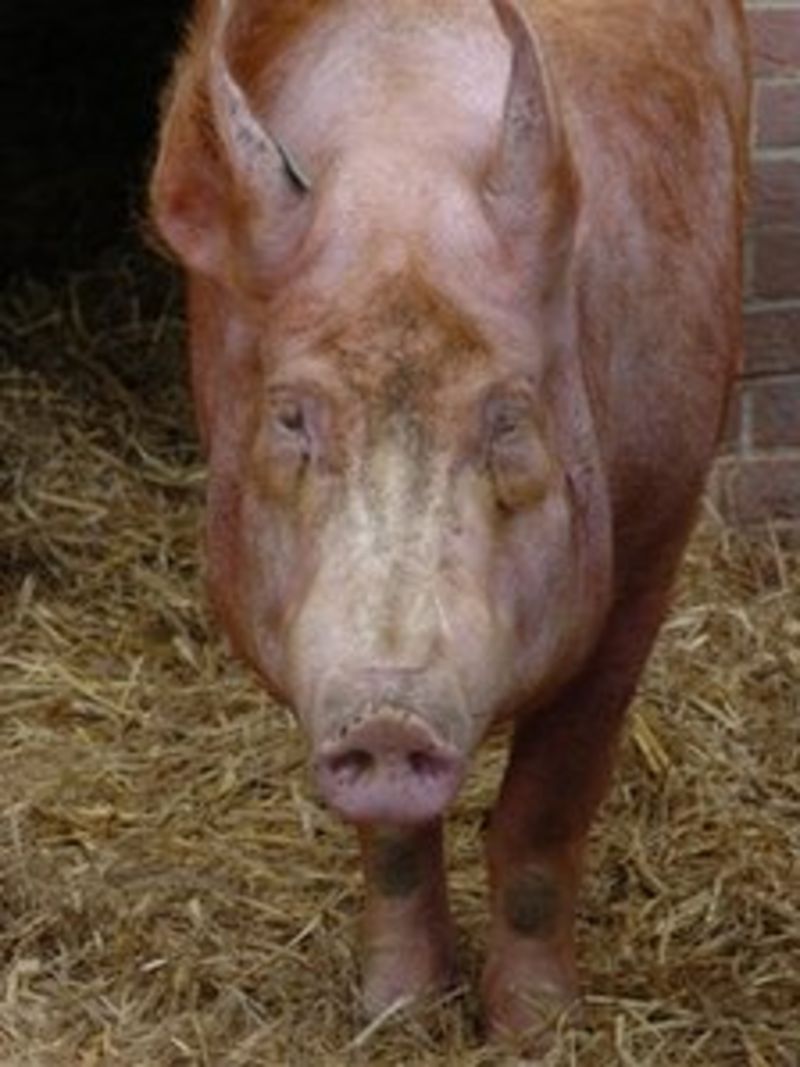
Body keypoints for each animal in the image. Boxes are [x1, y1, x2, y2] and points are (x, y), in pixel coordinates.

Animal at [150, 0, 750, 1043]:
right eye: (291, 417)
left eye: (509, 417)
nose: (391, 712)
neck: (403, 147)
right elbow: (390, 839)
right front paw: (399, 1016)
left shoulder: (659, 517)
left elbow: (549, 800)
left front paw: (538, 1030)